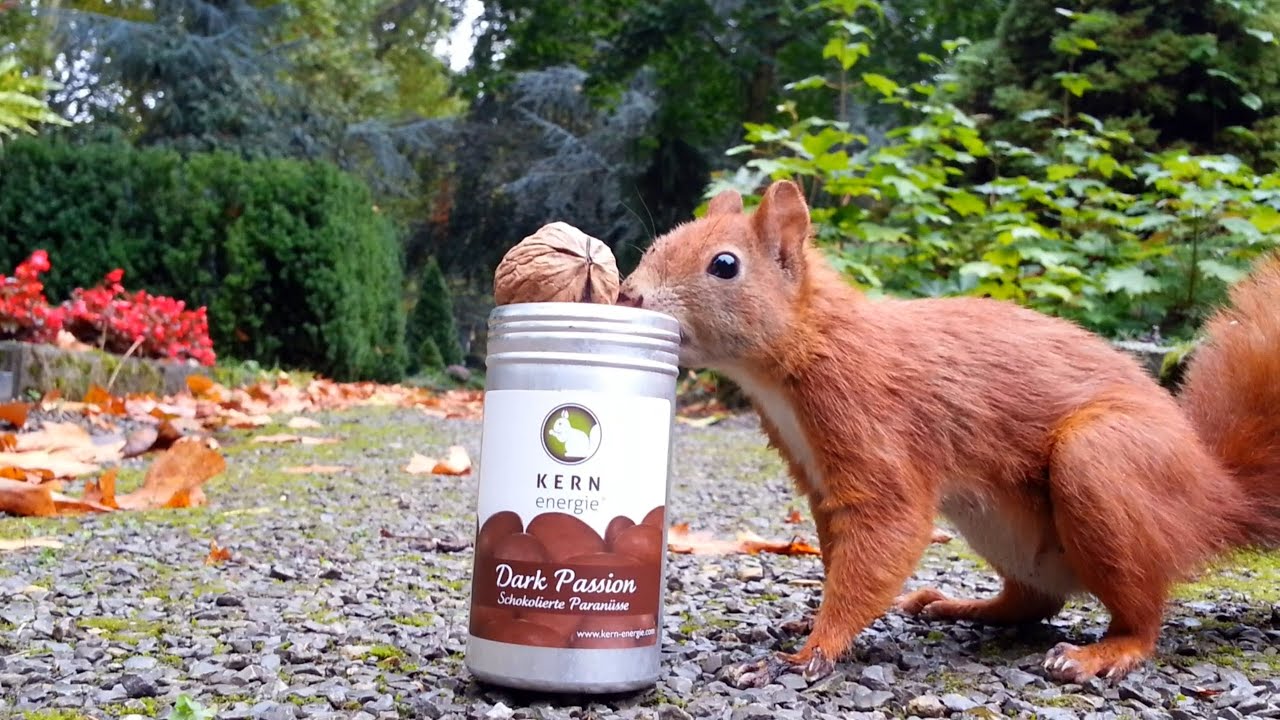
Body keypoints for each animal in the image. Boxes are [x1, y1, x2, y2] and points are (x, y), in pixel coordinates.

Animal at [616, 179, 1280, 686]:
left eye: (724, 265)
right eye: (659, 243)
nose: (628, 295)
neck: (806, 346)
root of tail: (1212, 497)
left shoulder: (871, 421)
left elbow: (889, 528)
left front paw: (808, 653)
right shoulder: (817, 476)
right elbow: (838, 551)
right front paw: (809, 623)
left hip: (1105, 463)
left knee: (1140, 615)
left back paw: (1103, 653)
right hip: (1002, 529)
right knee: (1034, 602)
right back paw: (957, 605)